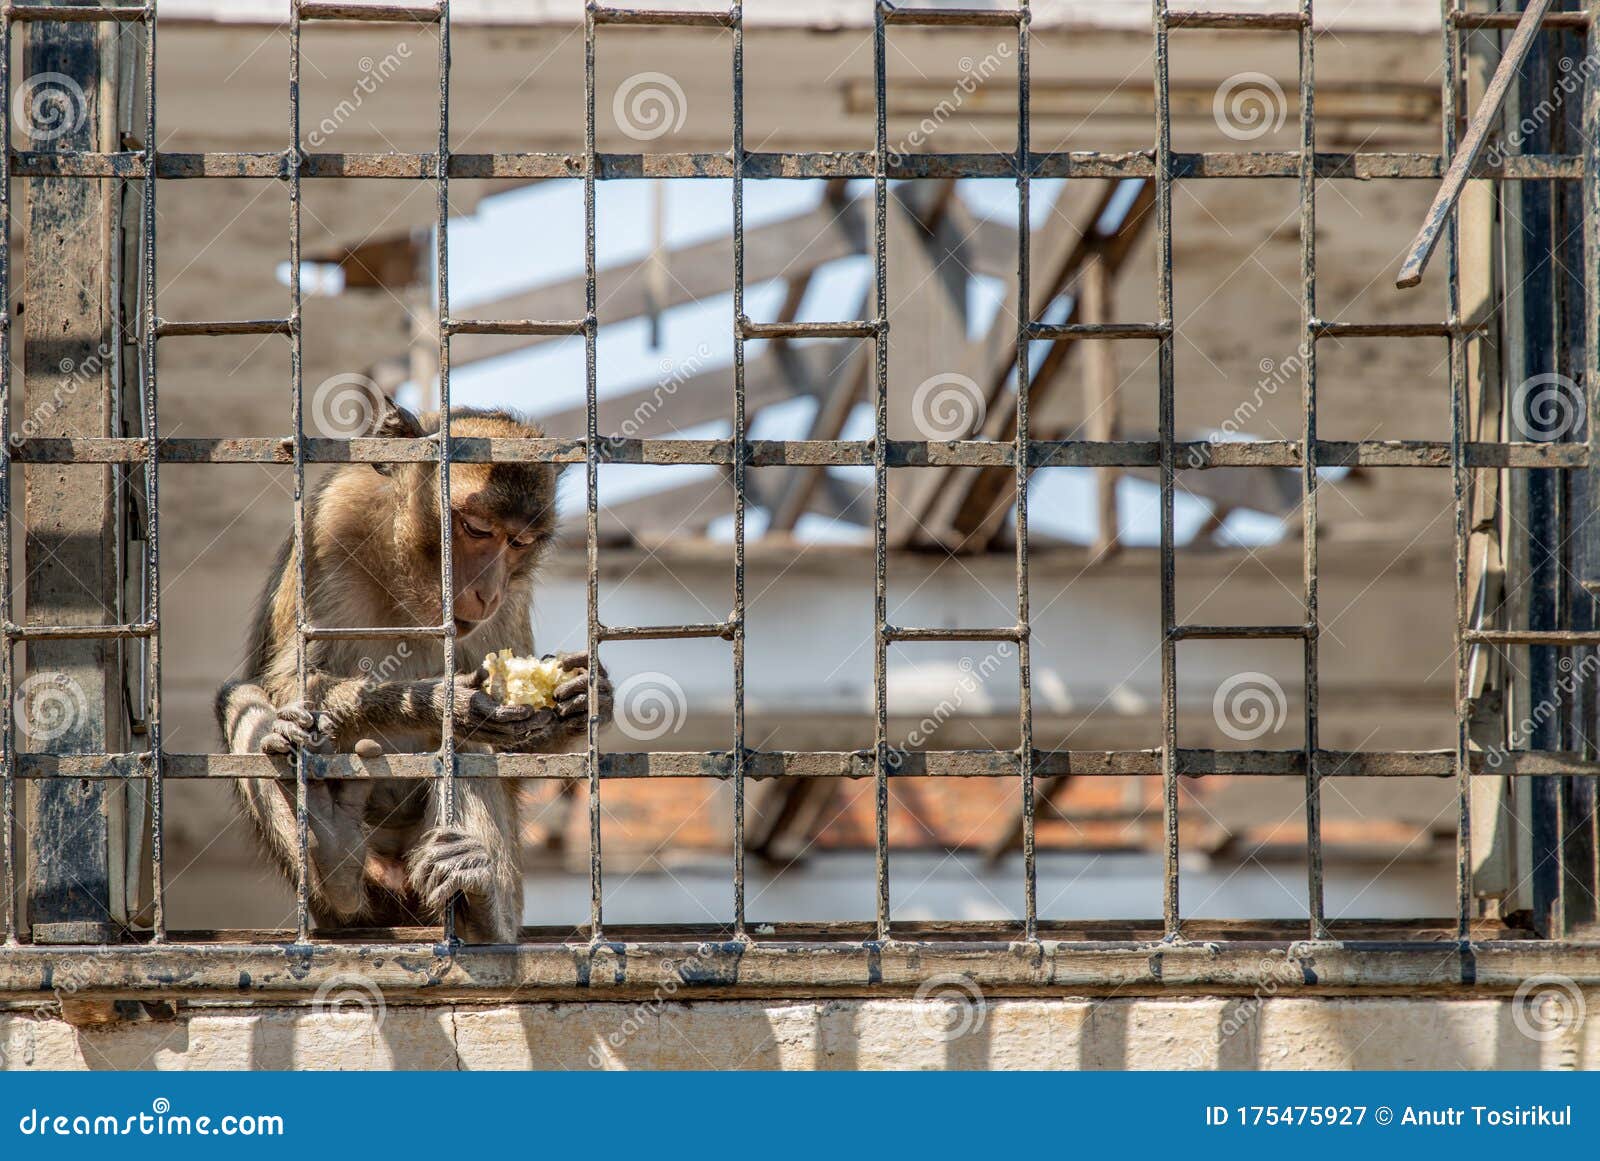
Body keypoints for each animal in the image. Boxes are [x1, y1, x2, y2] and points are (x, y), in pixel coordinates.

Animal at [216, 401, 610, 943]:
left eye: (519, 542)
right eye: (477, 529)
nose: (488, 590)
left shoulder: (514, 597)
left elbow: (517, 750)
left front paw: (584, 700)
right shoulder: (330, 524)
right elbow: (287, 682)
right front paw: (438, 702)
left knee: (471, 755)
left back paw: (481, 911)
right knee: (244, 704)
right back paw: (334, 859)